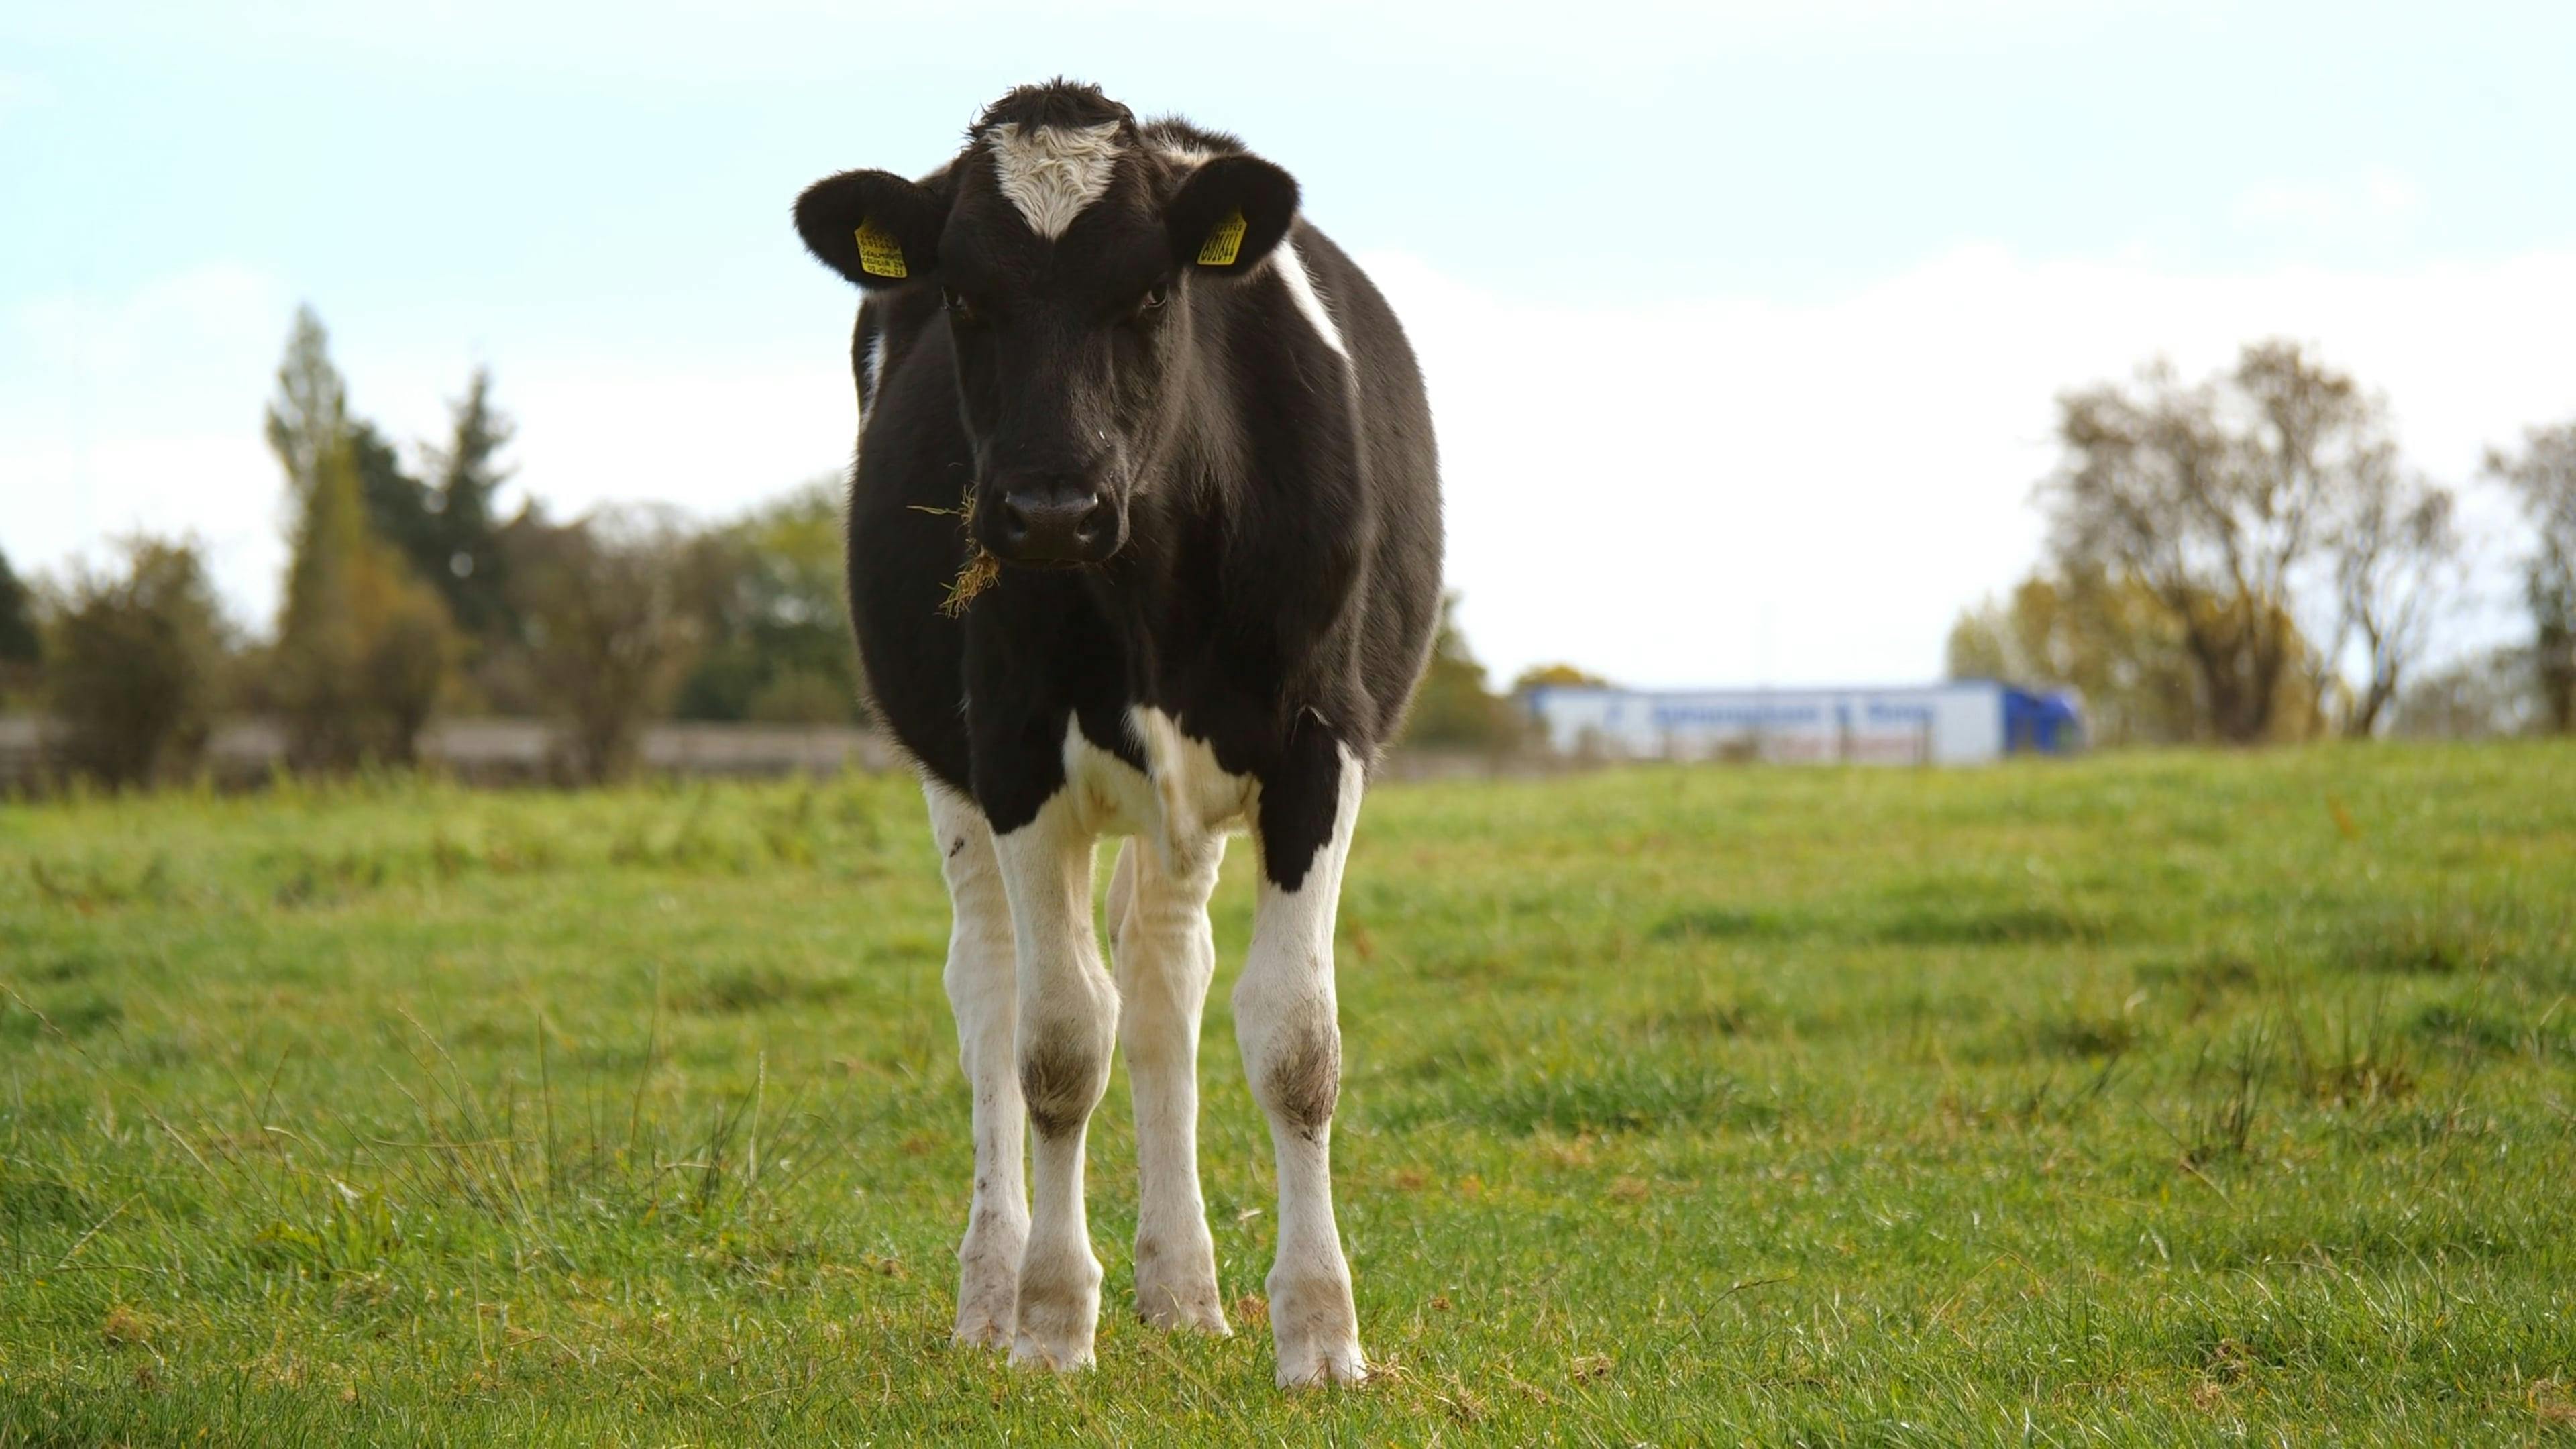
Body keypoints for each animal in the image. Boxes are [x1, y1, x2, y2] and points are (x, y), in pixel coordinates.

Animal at [793, 81, 1442, 1386]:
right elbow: (1055, 1045)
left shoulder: (1320, 746)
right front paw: (1053, 1322)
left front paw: (1319, 1334)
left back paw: (1183, 1287)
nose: (1050, 507)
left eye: (1148, 291)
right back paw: (992, 1293)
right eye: (965, 294)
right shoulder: (1014, 755)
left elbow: (1295, 1044)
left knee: (1163, 982)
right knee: (992, 991)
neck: (1152, 579)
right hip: (949, 767)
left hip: (1187, 806)